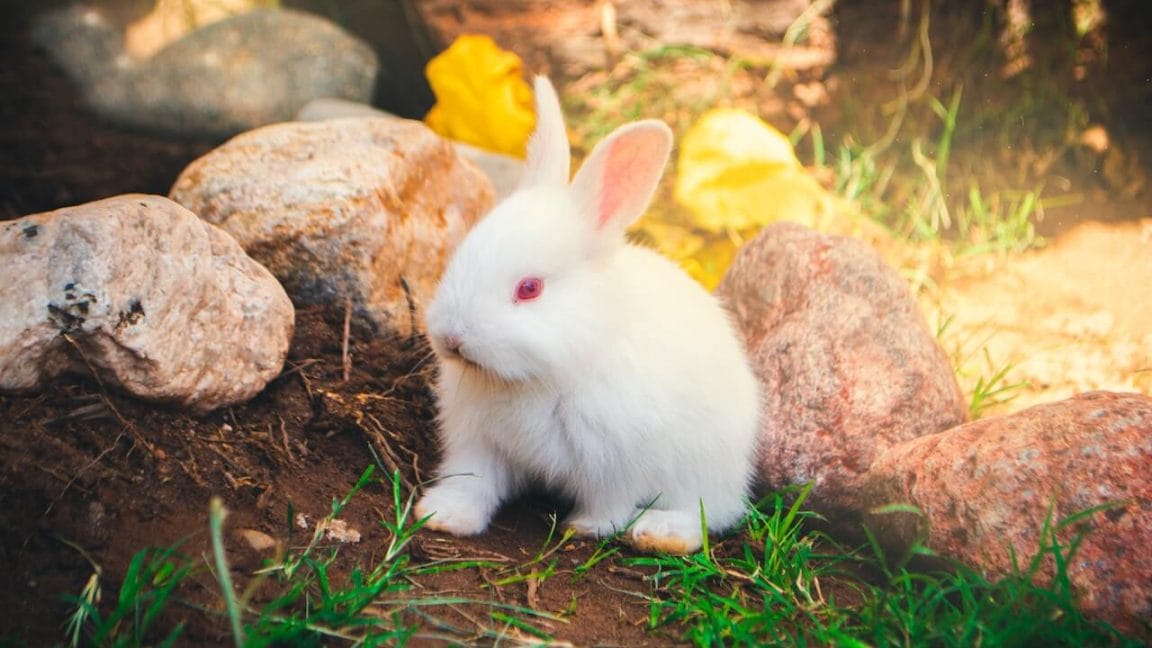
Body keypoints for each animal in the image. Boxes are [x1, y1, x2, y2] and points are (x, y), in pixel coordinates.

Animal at [414, 76, 761, 555]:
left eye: (529, 289)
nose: (450, 337)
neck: (535, 377)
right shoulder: (478, 443)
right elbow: (472, 482)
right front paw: (443, 516)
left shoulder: (616, 462)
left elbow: (610, 502)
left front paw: (586, 528)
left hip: (703, 469)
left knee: (710, 513)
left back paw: (660, 534)